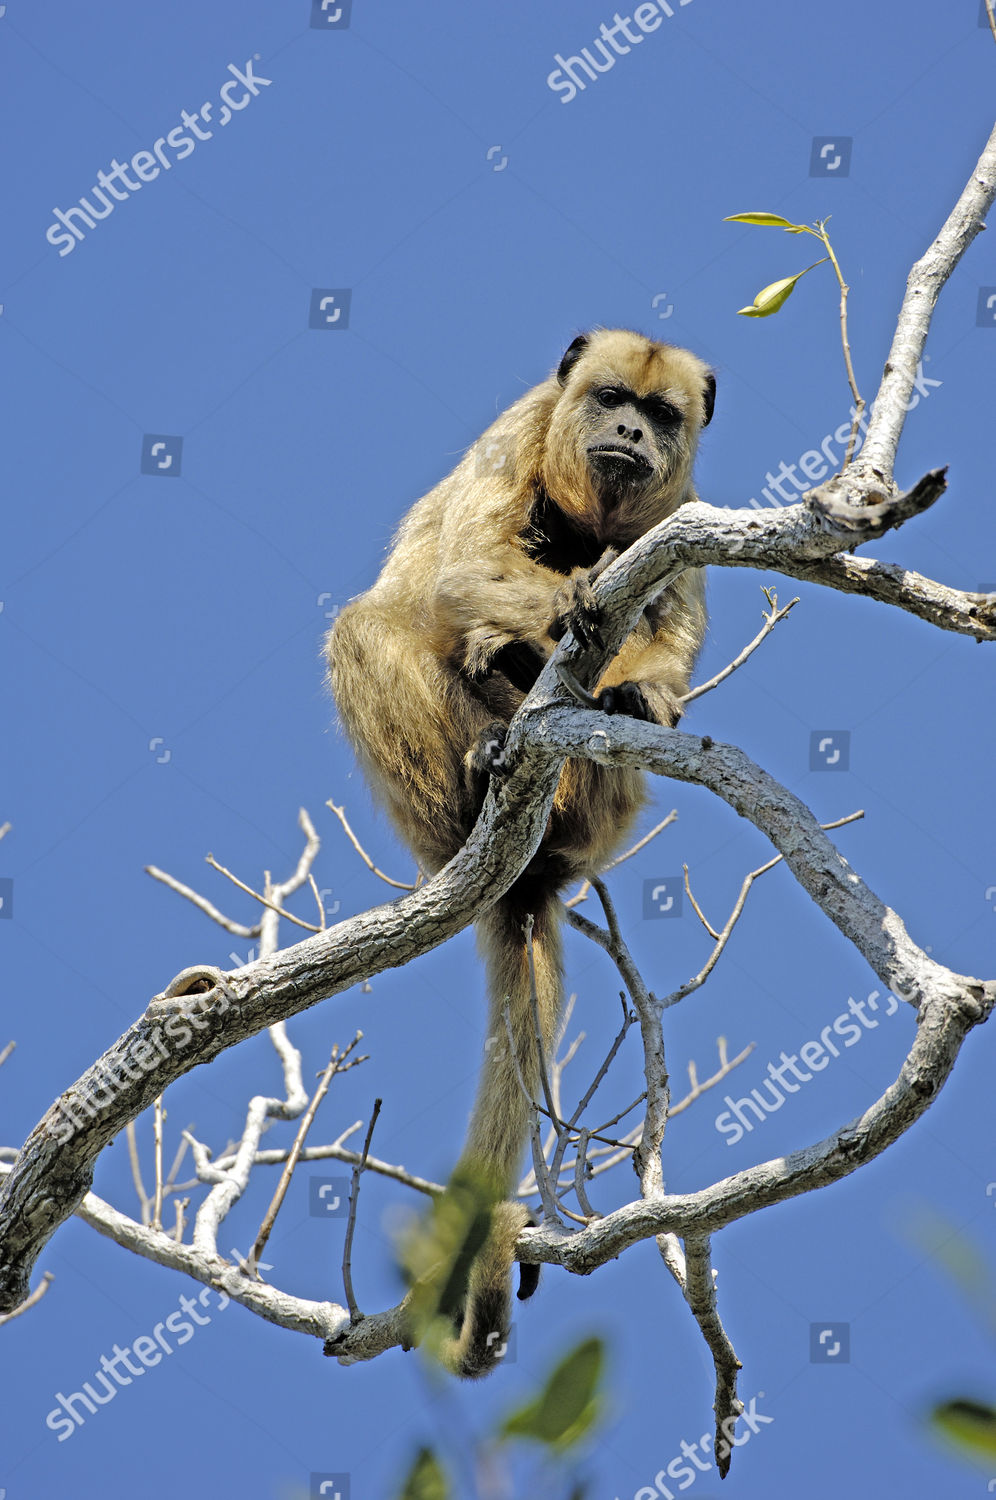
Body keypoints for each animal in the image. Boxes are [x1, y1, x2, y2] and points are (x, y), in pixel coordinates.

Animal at [326, 328, 714, 1377]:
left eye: (661, 415)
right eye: (612, 399)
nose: (630, 432)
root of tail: (528, 875)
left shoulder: (692, 503)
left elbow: (674, 637)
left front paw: (642, 687)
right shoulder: (519, 430)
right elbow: (465, 565)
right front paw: (561, 602)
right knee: (370, 624)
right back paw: (489, 746)